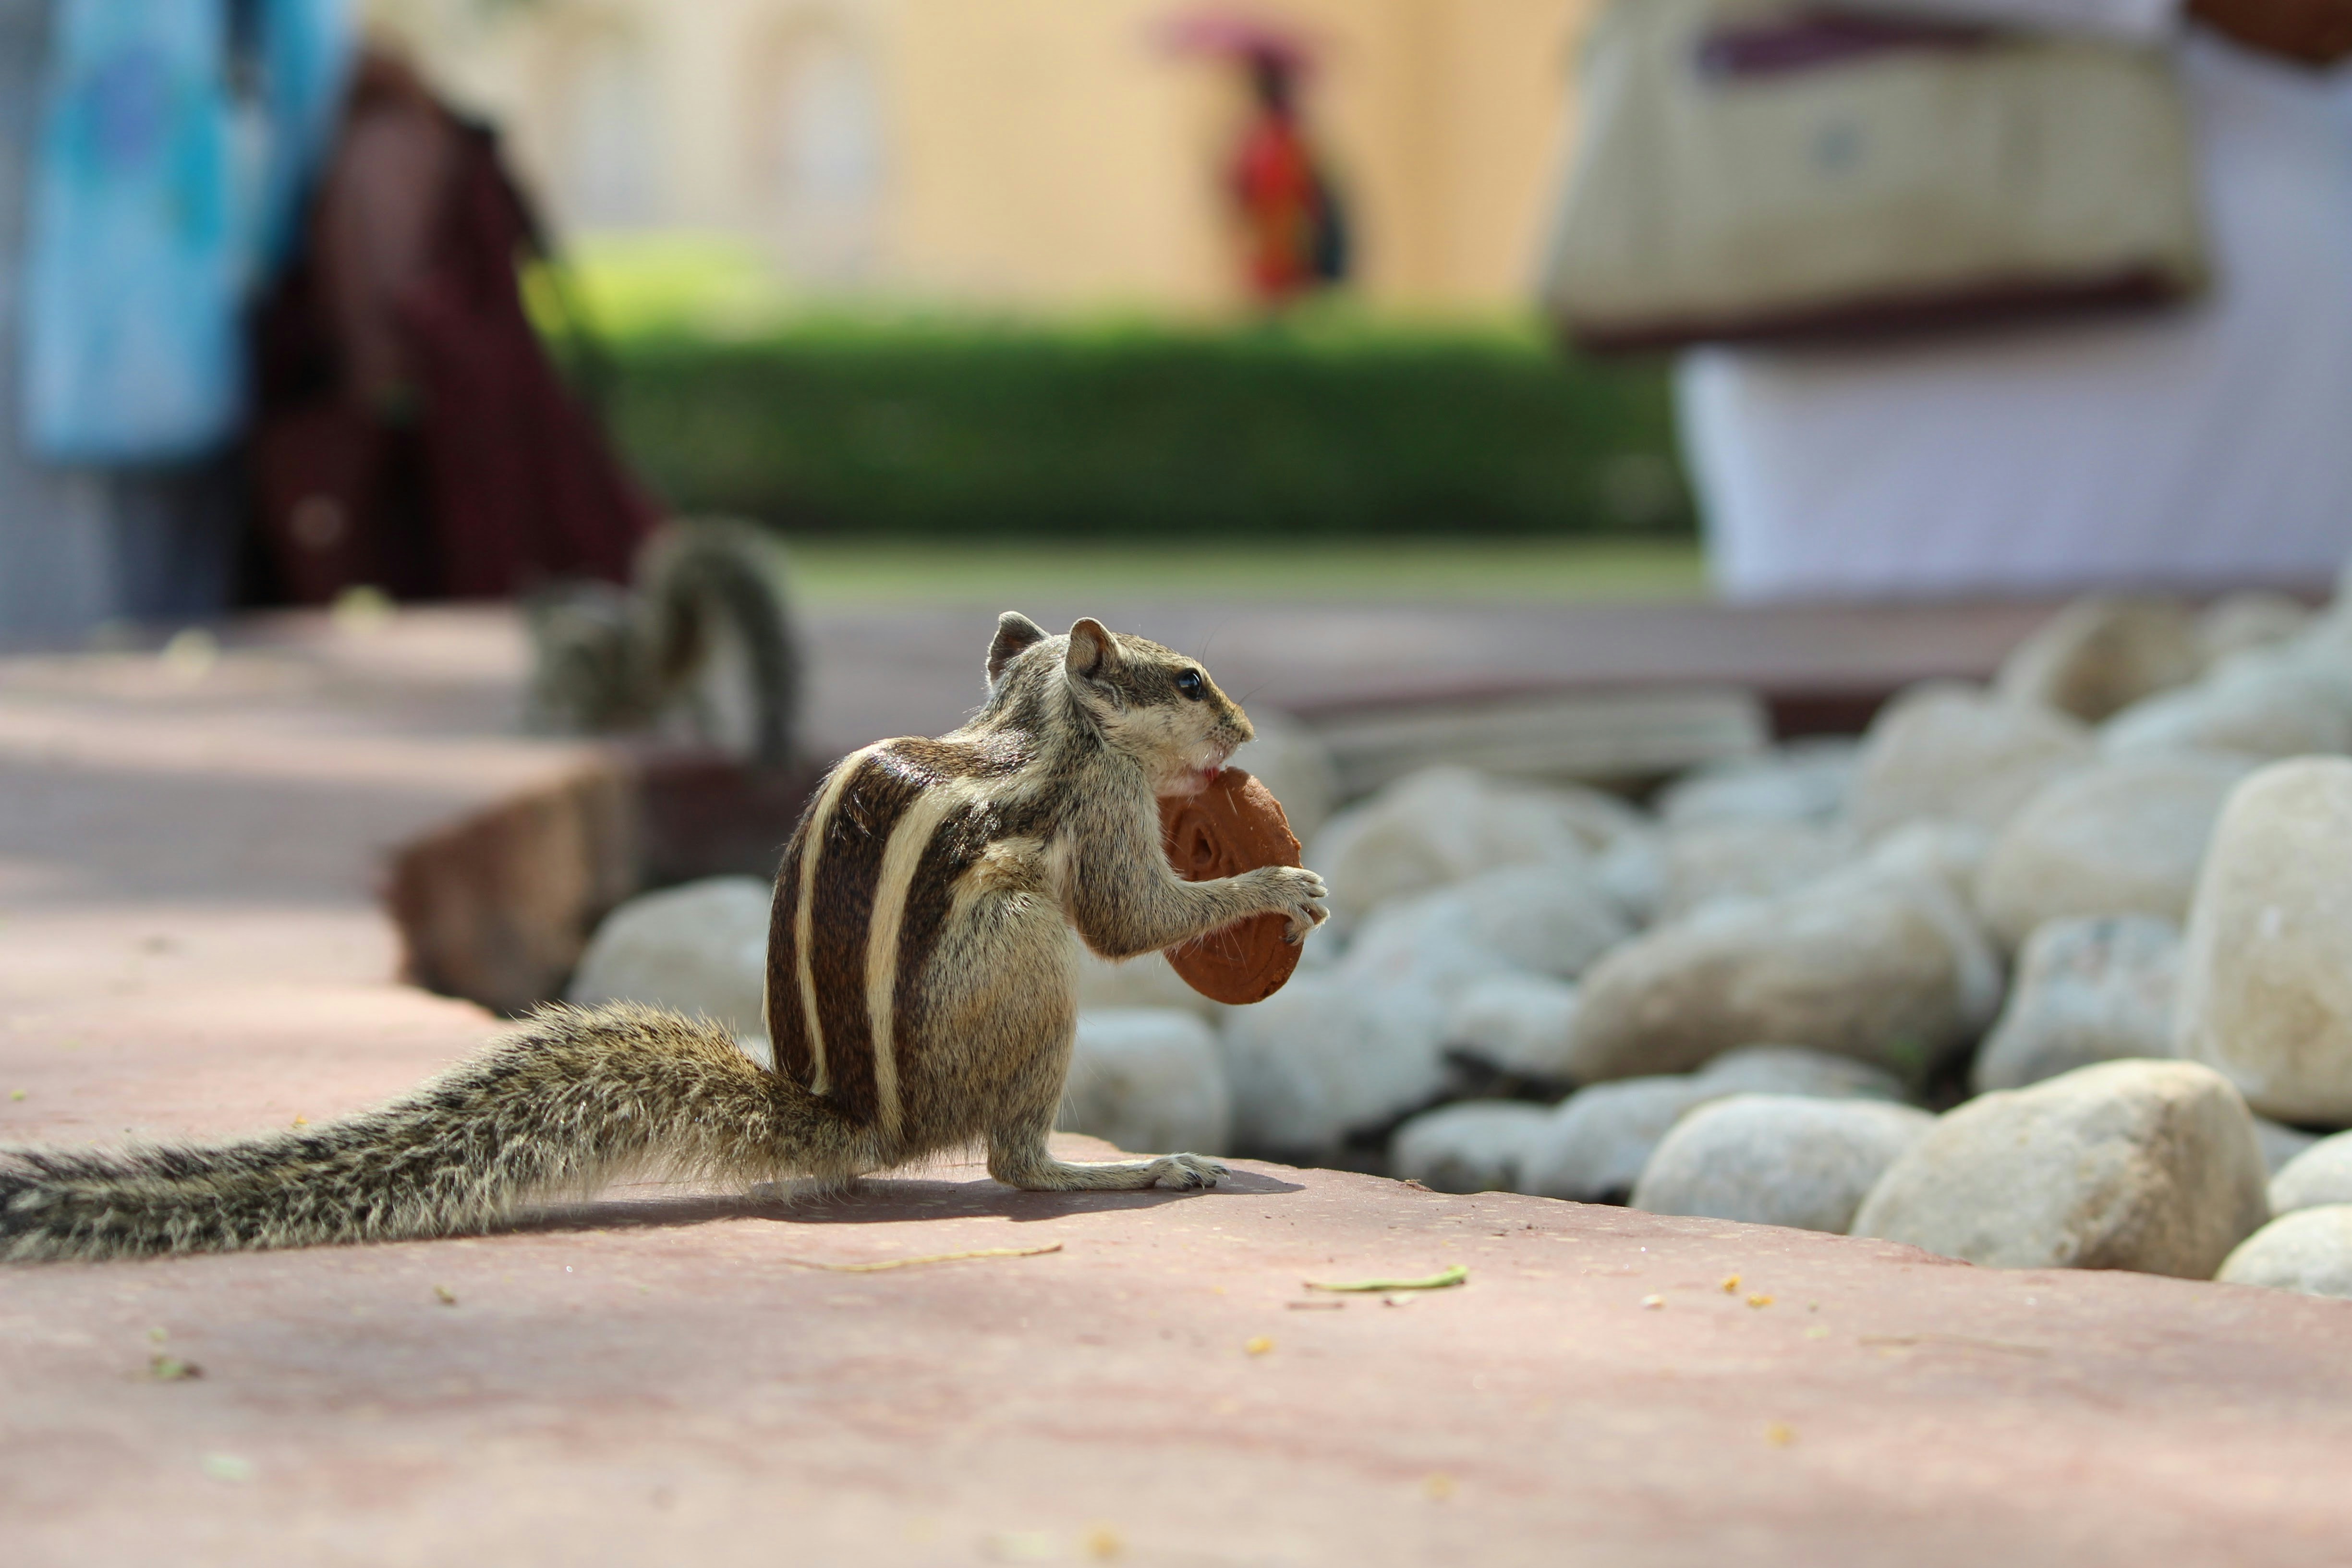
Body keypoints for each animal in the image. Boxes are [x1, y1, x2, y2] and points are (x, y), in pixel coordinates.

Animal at [1, 614, 1328, 1261]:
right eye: (1191, 681)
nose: (1249, 734)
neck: (1034, 719)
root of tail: (859, 1116)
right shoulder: (1095, 810)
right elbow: (1130, 915)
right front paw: (1274, 880)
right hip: (1020, 962)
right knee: (1016, 1164)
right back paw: (1126, 1171)